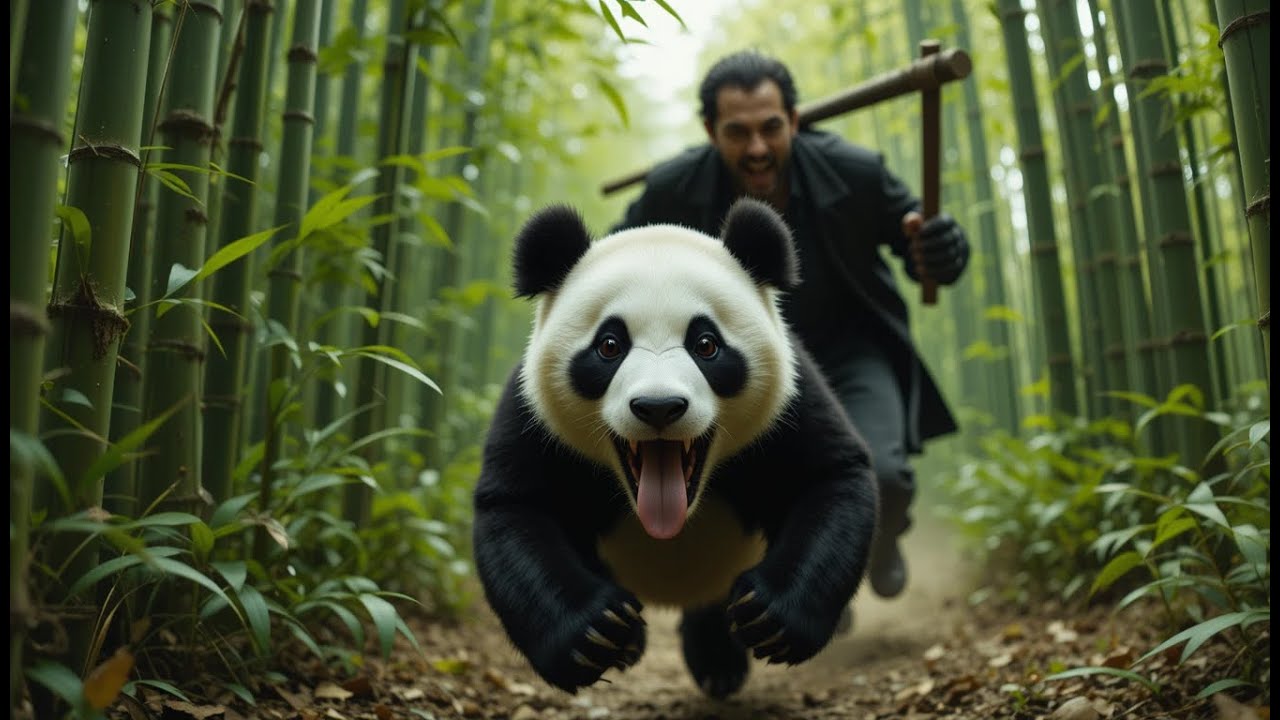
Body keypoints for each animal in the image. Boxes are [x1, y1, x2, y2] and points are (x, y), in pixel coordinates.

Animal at [472, 197, 878, 699]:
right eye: (610, 345)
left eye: (705, 344)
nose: (659, 407)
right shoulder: (535, 419)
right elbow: (517, 509)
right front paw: (595, 634)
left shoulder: (790, 404)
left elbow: (829, 478)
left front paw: (771, 618)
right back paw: (633, 642)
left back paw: (718, 661)